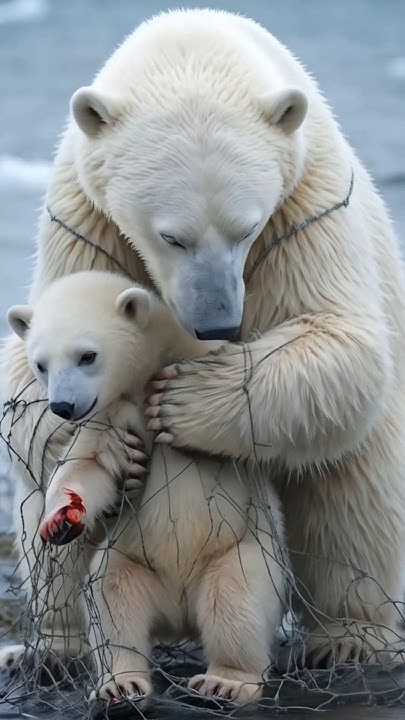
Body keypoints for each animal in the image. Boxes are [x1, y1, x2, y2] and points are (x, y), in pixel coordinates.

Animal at [6, 269, 286, 704]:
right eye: (41, 365)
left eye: (87, 356)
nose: (62, 407)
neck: (152, 362)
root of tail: (178, 616)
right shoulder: (110, 413)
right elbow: (88, 464)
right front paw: (60, 519)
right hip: (130, 560)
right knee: (113, 604)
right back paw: (121, 683)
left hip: (239, 553)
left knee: (237, 605)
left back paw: (226, 681)